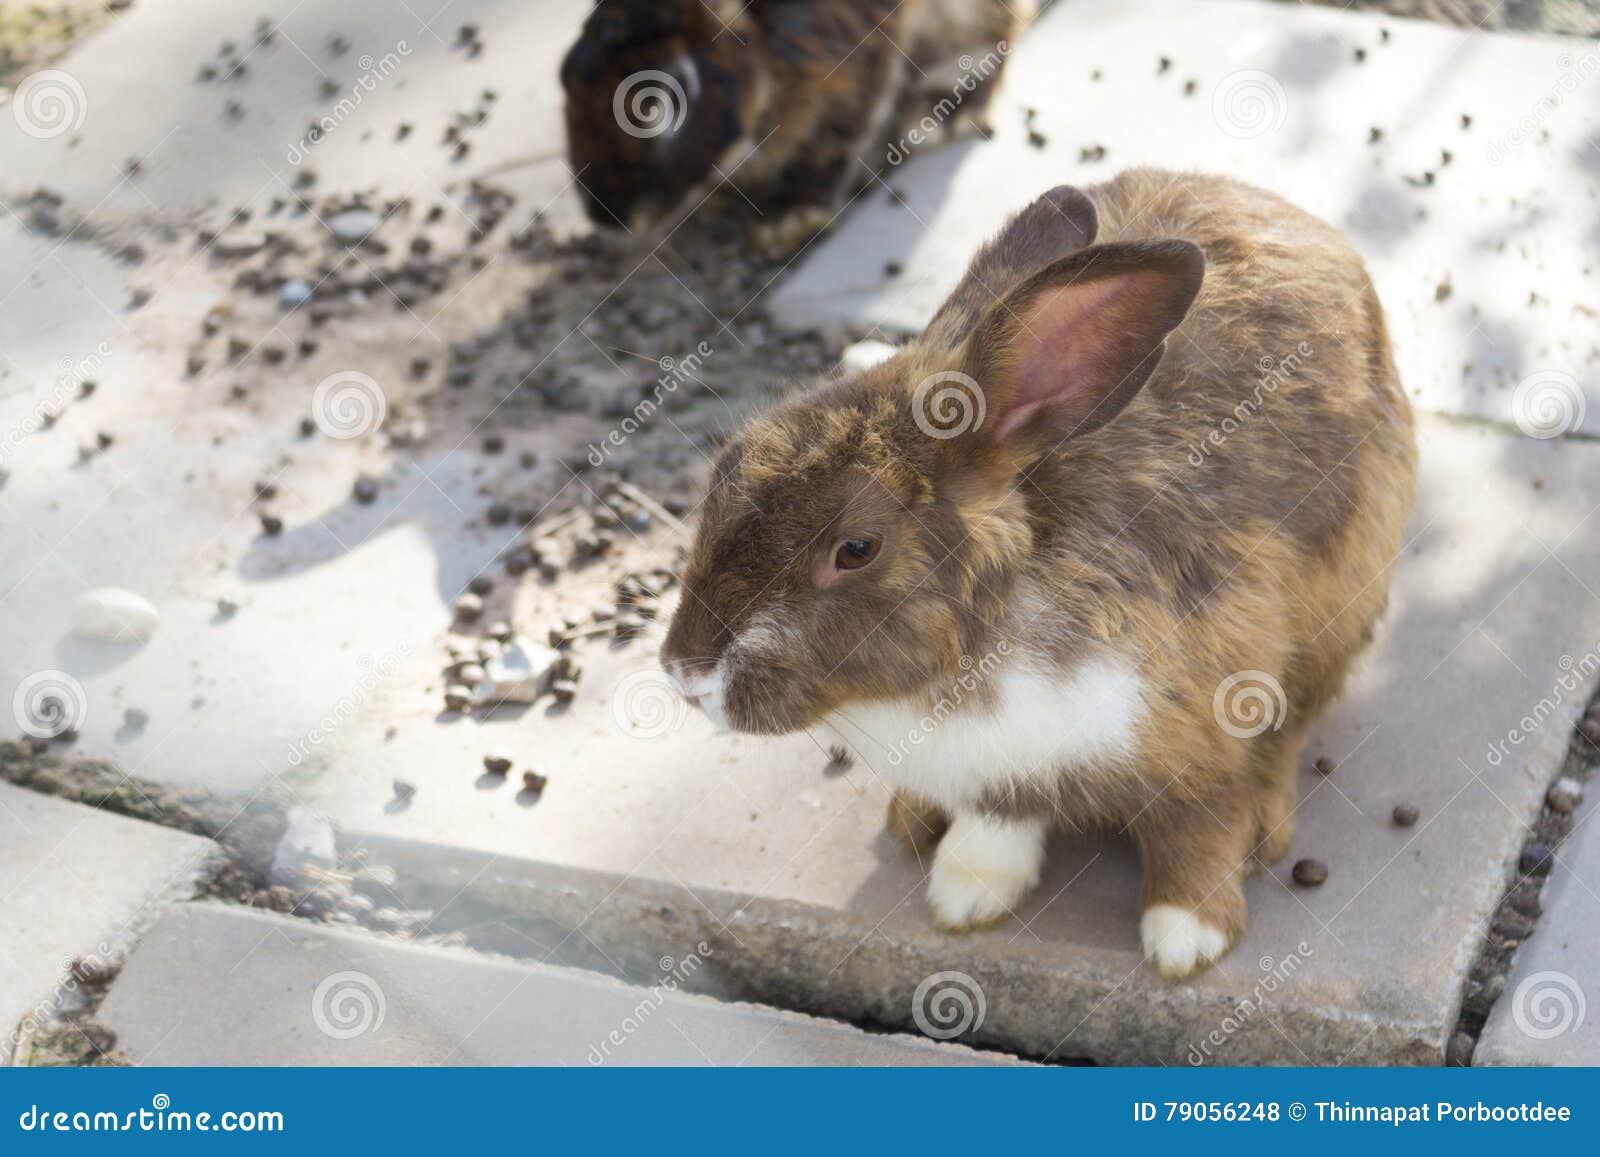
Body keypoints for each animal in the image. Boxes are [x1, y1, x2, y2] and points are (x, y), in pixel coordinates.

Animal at [559, 0, 1034, 254]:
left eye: (659, 101)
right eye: (565, 75)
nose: (607, 214)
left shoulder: (852, 66)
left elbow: (832, 137)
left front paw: (787, 224)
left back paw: (937, 115)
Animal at [659, 168, 1418, 980]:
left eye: (857, 547)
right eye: (727, 467)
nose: (685, 673)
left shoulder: (1213, 716)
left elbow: (1198, 825)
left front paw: (1188, 938)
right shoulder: (1005, 773)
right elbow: (1003, 815)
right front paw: (967, 893)